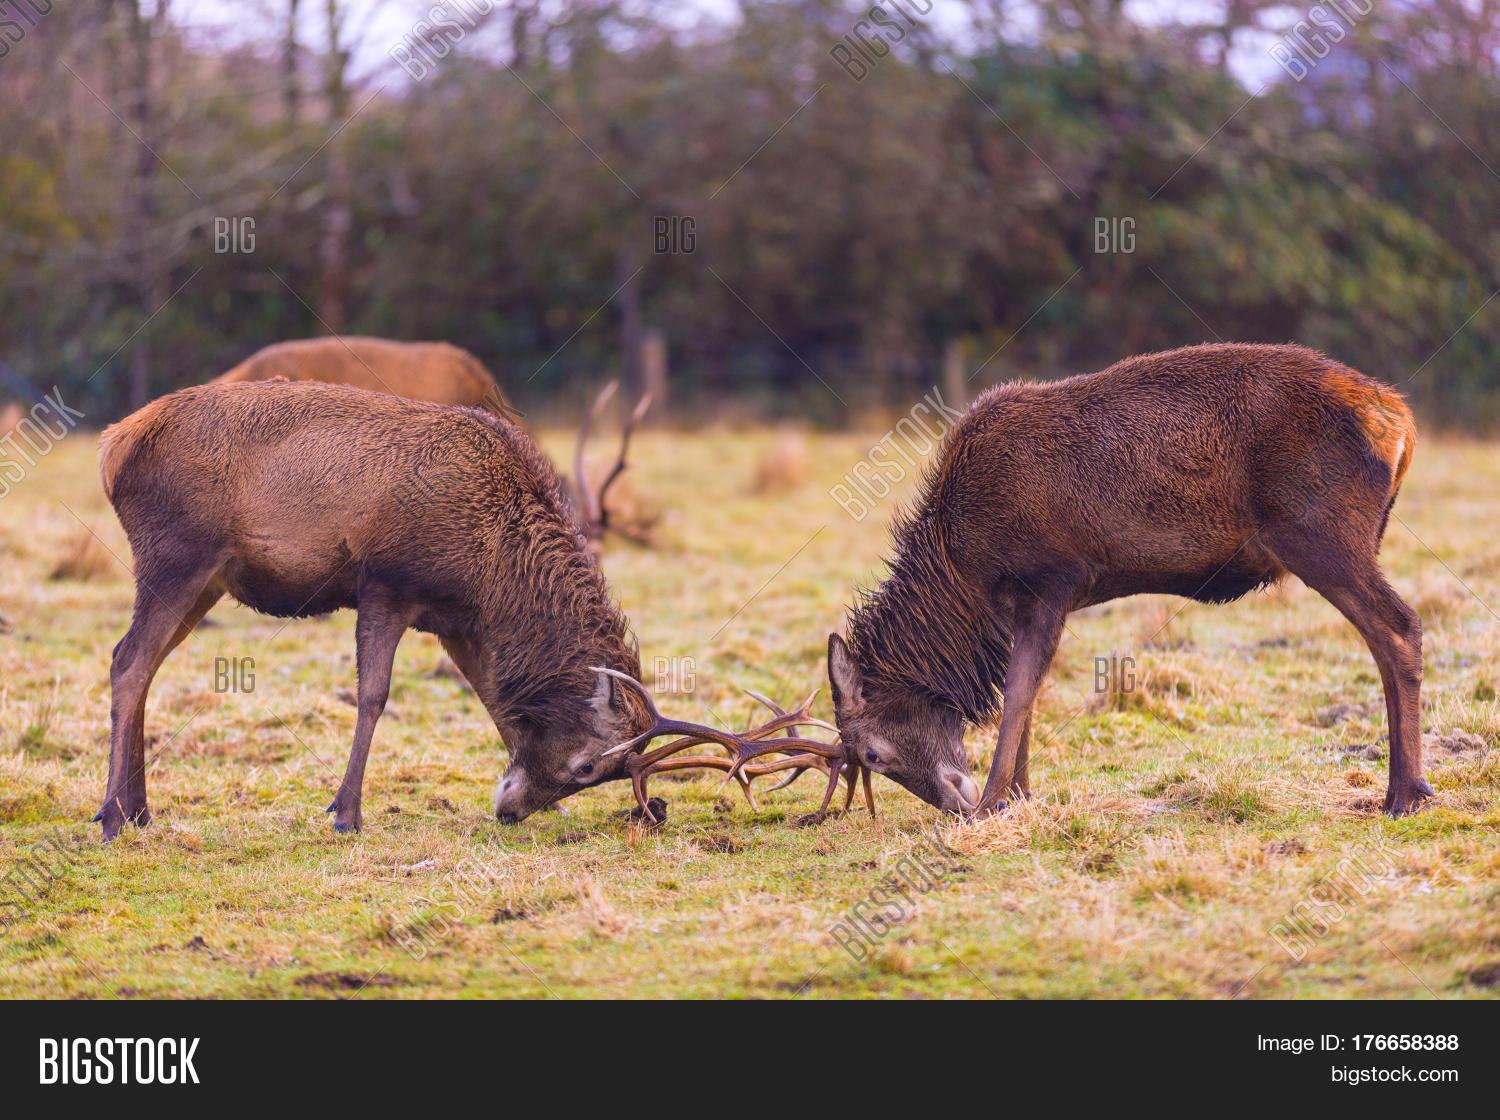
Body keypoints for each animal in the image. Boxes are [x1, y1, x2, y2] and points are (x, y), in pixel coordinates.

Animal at [796, 343, 1429, 821]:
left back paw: (1404, 794)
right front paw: (1020, 796)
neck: (964, 569)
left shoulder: (1052, 578)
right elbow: (1027, 694)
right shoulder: (1027, 603)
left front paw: (995, 802)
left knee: (1399, 627)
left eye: (873, 754)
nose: (956, 801)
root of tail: (1401, 418)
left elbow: (1019, 692)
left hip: (1319, 535)